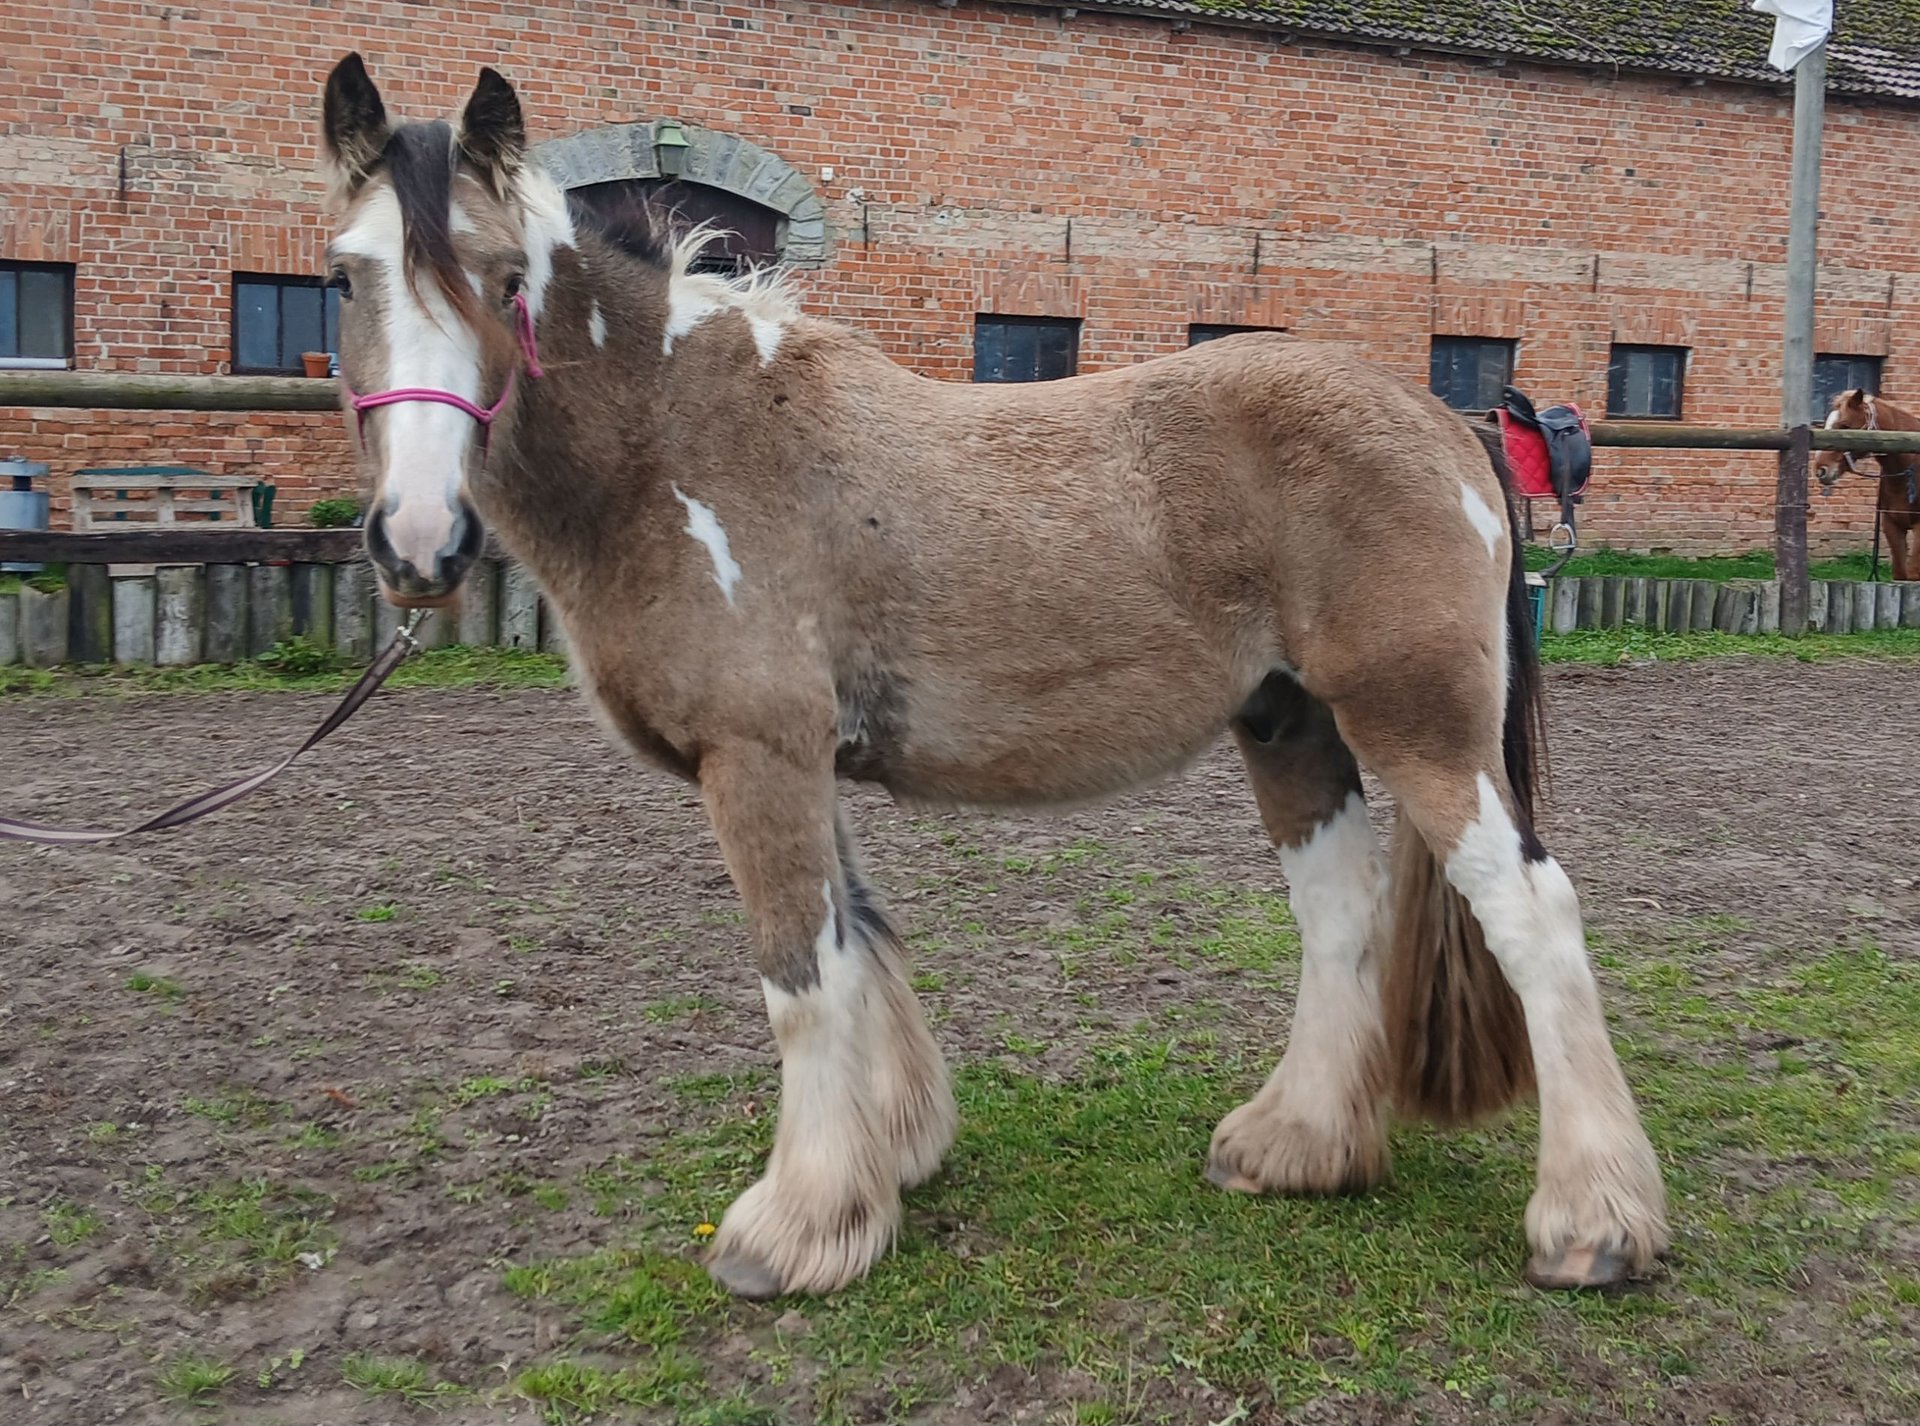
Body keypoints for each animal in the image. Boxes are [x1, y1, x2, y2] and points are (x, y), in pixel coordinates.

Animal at [315, 54, 1668, 1300]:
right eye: (342, 275)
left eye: (504, 280)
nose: (419, 541)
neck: (677, 449)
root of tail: (1450, 424)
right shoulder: (803, 761)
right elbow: (858, 944)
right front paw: (892, 1158)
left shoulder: (757, 759)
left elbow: (800, 979)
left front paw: (797, 1228)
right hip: (1290, 726)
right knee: (1339, 908)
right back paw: (1295, 1146)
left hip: (1418, 727)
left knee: (1532, 913)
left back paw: (1593, 1220)